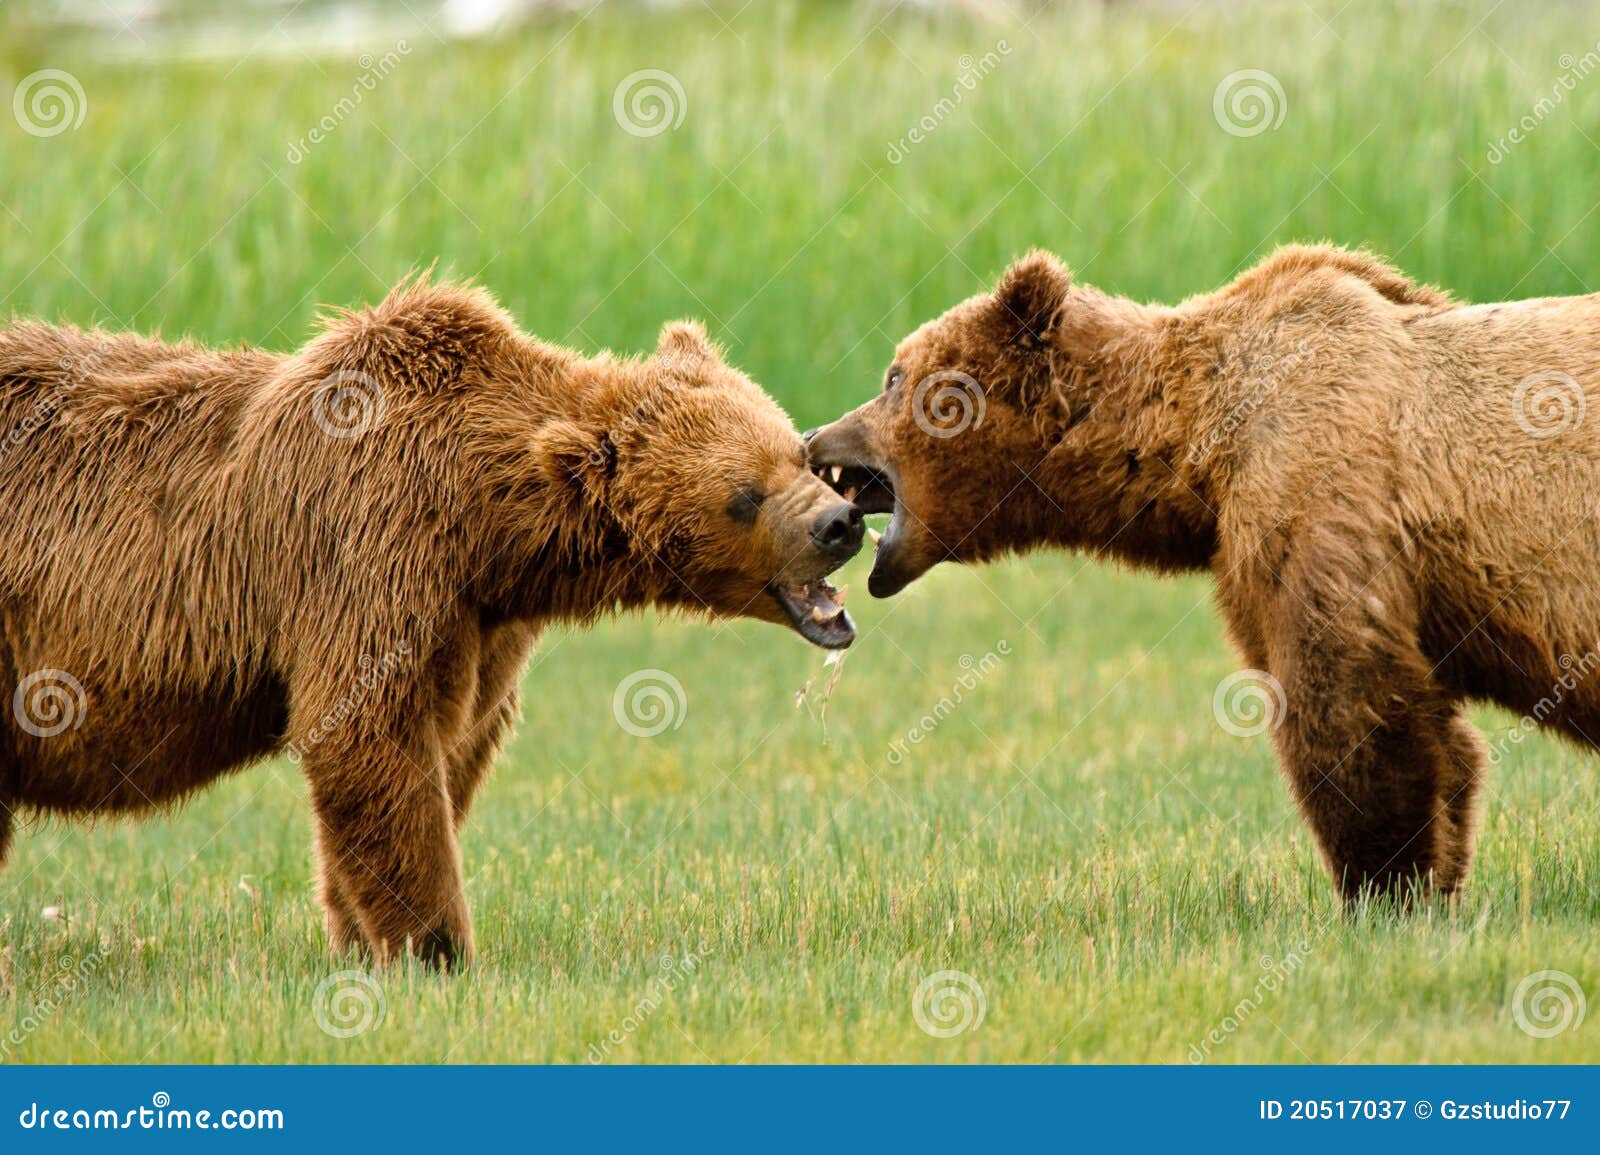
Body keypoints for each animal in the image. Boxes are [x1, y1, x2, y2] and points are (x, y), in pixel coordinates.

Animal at [0, 275, 864, 968]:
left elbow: (452, 745)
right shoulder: (368, 550)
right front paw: (435, 947)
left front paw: (359, 935)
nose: (839, 523)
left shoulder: (479, 620)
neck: (485, 524)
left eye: (796, 449)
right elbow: (372, 738)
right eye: (744, 493)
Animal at [806, 243, 1600, 905]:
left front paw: (1384, 887)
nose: (815, 438)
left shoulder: (1315, 489)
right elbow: (1433, 732)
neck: (1197, 439)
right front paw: (1431, 878)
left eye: (893, 376)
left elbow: (1348, 698)